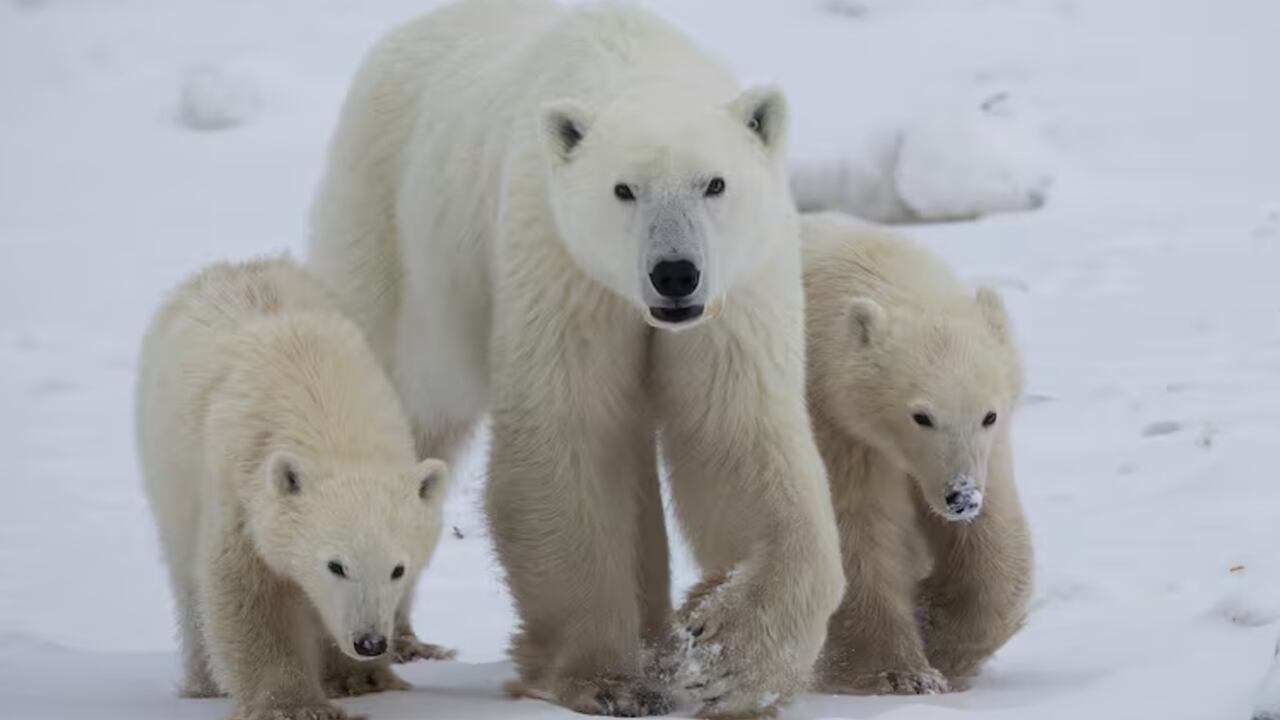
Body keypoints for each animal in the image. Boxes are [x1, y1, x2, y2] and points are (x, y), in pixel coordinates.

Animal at [135, 257, 451, 720]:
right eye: (336, 565)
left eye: (399, 569)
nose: (370, 641)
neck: (330, 414)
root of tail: (237, 266)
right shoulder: (242, 490)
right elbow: (250, 594)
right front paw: (294, 704)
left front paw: (362, 679)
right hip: (168, 466)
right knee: (186, 576)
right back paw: (203, 684)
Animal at [306, 0, 845, 716]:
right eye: (624, 189)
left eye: (714, 183)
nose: (675, 274)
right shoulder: (563, 265)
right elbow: (569, 439)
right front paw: (607, 681)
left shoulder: (737, 290)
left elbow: (735, 436)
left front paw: (726, 658)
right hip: (395, 236)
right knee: (400, 408)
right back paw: (362, 657)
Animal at [799, 212, 1033, 695]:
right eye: (921, 416)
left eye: (989, 415)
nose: (960, 497)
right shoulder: (839, 426)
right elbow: (859, 533)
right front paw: (900, 673)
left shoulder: (989, 453)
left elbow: (995, 543)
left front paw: (941, 635)